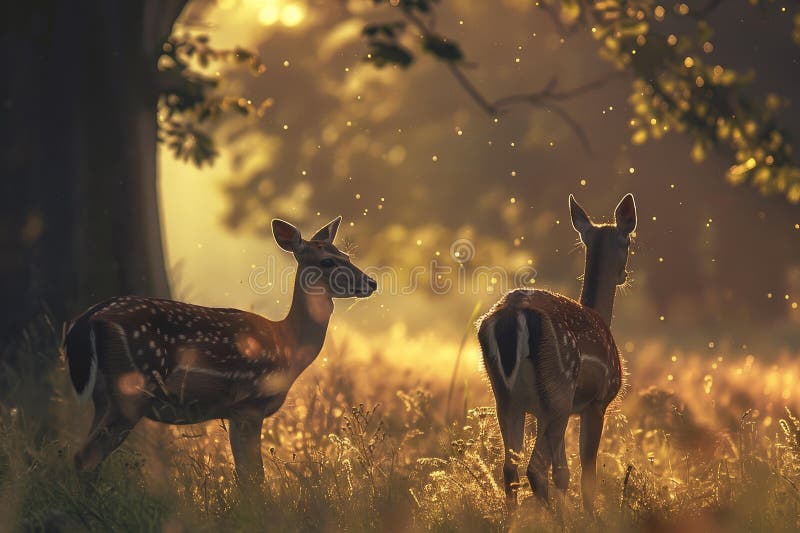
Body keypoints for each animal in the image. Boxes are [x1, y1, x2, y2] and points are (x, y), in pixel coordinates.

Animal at [62, 217, 377, 484]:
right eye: (328, 261)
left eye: (347, 256)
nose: (371, 282)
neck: (286, 344)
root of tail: (89, 317)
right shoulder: (250, 404)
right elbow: (254, 478)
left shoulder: (235, 412)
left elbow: (246, 477)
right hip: (132, 386)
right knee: (84, 457)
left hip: (104, 396)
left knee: (88, 457)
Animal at [477, 193, 636, 512]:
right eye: (629, 240)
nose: (624, 274)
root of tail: (513, 317)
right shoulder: (597, 402)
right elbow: (586, 475)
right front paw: (590, 516)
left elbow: (562, 473)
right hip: (558, 389)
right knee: (535, 469)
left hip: (507, 396)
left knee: (510, 469)